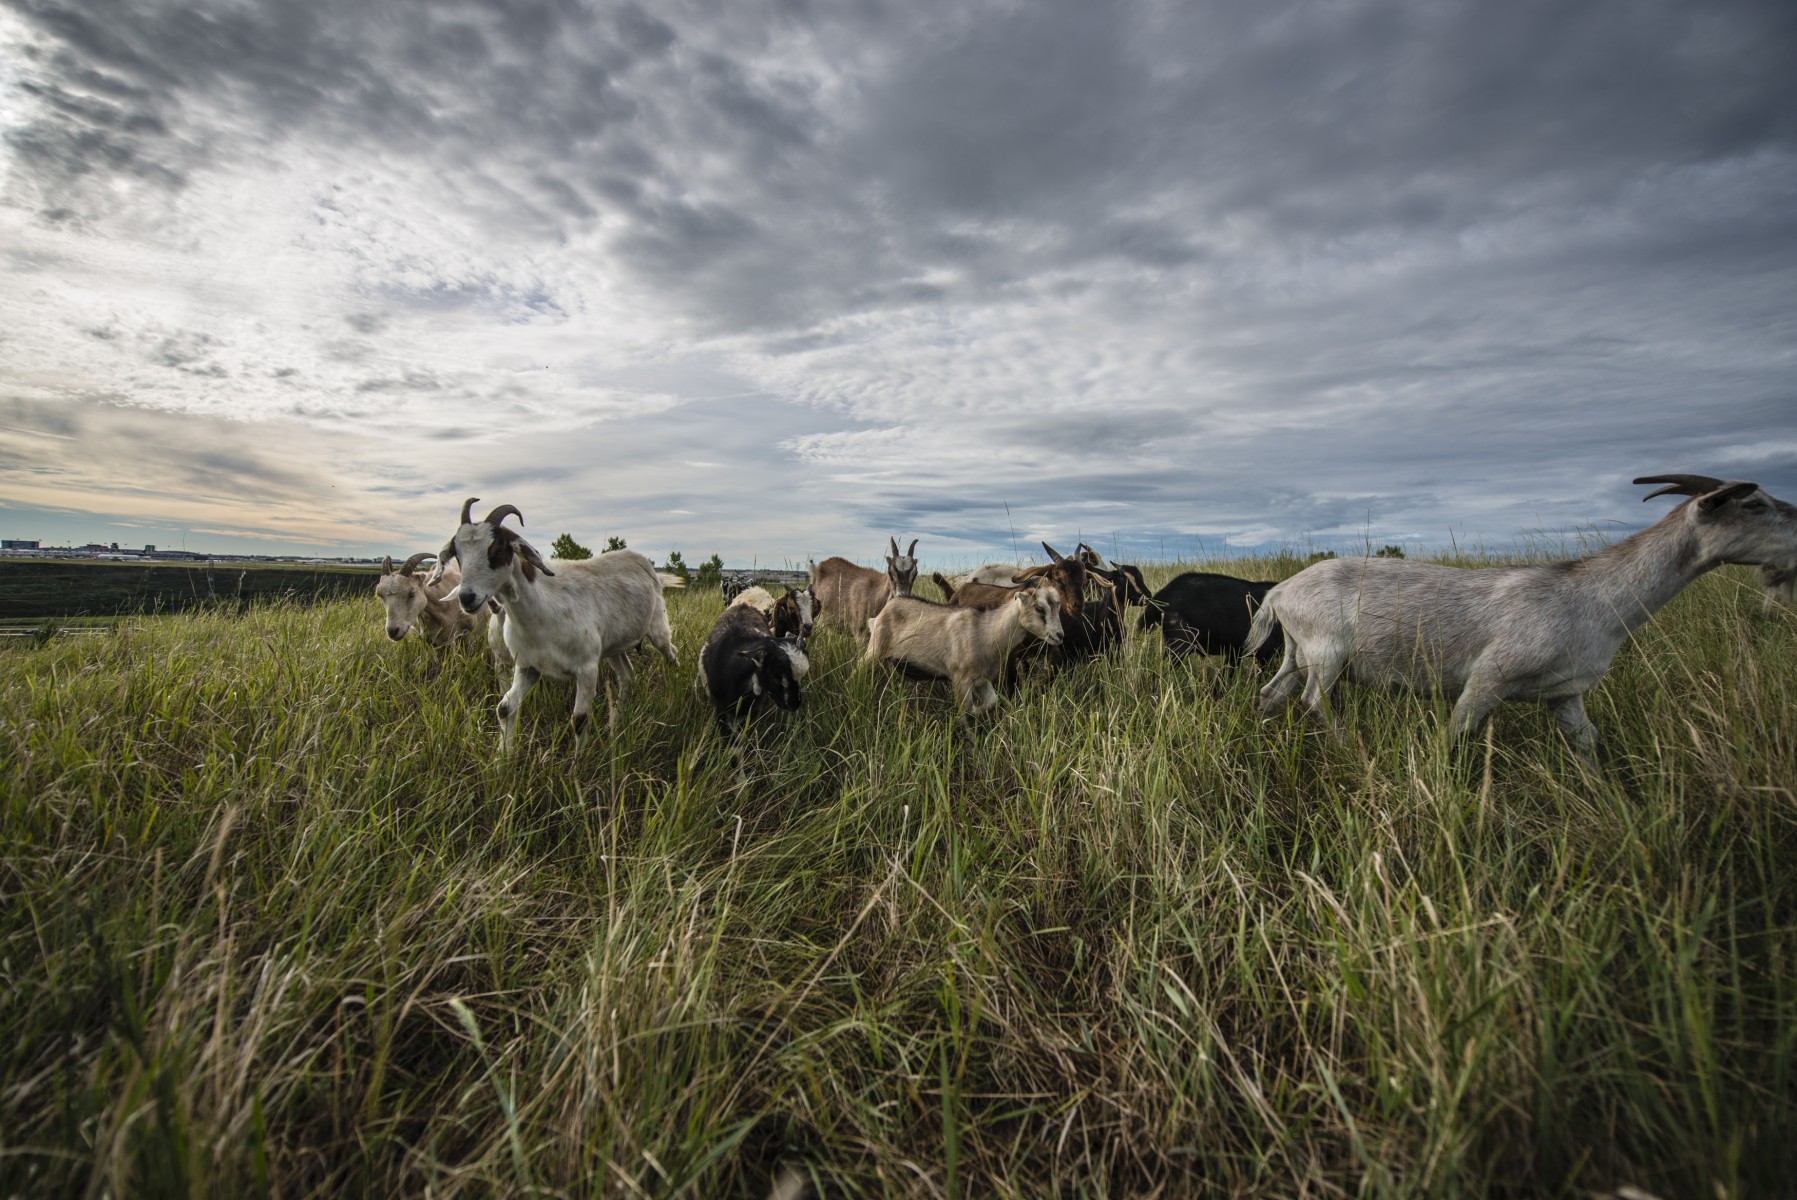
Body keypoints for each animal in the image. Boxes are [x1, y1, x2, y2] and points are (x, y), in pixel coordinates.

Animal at [430, 498, 678, 751]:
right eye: (458, 556)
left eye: (497, 550)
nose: (467, 598)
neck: (542, 612)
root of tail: (646, 566)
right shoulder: (527, 667)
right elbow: (505, 708)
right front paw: (502, 756)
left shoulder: (587, 668)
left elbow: (579, 719)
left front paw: (580, 760)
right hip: (613, 648)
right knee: (627, 676)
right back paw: (616, 725)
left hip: (657, 627)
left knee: (671, 653)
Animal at [863, 584, 1064, 714]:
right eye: (1039, 608)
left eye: (1058, 606)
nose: (1060, 635)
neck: (986, 631)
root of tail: (879, 615)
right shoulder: (961, 680)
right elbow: (966, 713)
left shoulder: (982, 679)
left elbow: (990, 703)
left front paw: (980, 710)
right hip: (874, 651)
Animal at [1247, 474, 1797, 758]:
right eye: (1753, 503)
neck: (1593, 598)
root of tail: (1281, 590)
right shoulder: (1490, 676)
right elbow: (1456, 732)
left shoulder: (1565, 691)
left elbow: (1587, 743)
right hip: (1327, 652)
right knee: (1314, 701)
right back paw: (1349, 748)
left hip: (1297, 651)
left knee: (1274, 692)